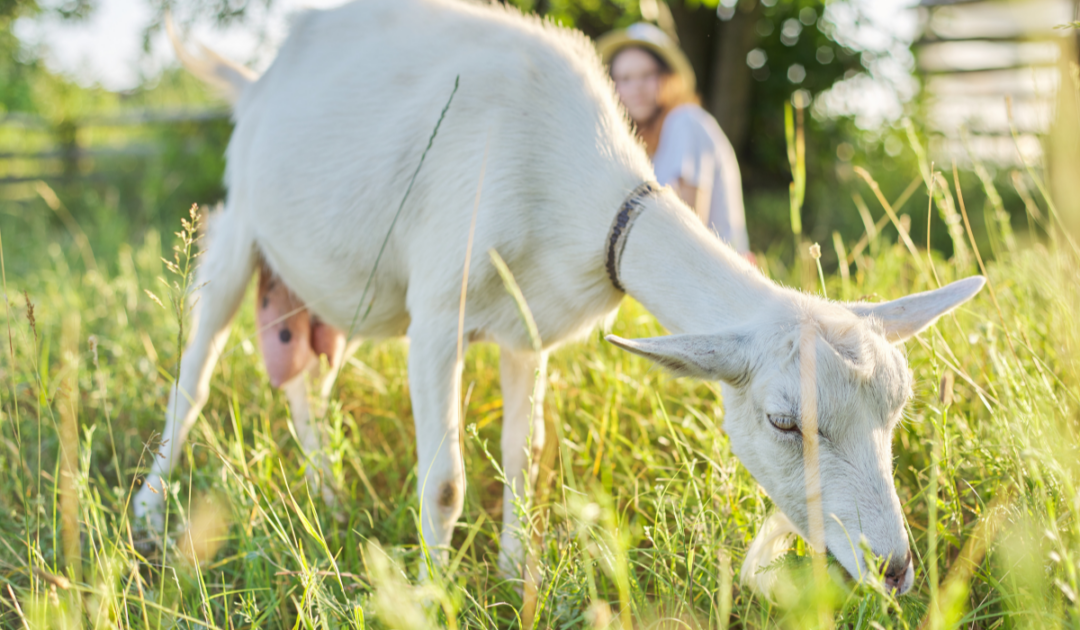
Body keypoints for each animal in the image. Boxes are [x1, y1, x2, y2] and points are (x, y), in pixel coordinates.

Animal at [137, 0, 984, 594]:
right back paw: (148, 517)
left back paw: (330, 496)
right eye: (783, 421)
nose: (894, 569)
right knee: (196, 372)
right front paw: (433, 592)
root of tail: (254, 80)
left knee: (306, 380)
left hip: (315, 290)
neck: (576, 187)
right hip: (239, 225)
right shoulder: (439, 310)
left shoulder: (526, 328)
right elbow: (444, 480)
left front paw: (519, 577)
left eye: (899, 409)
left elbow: (527, 453)